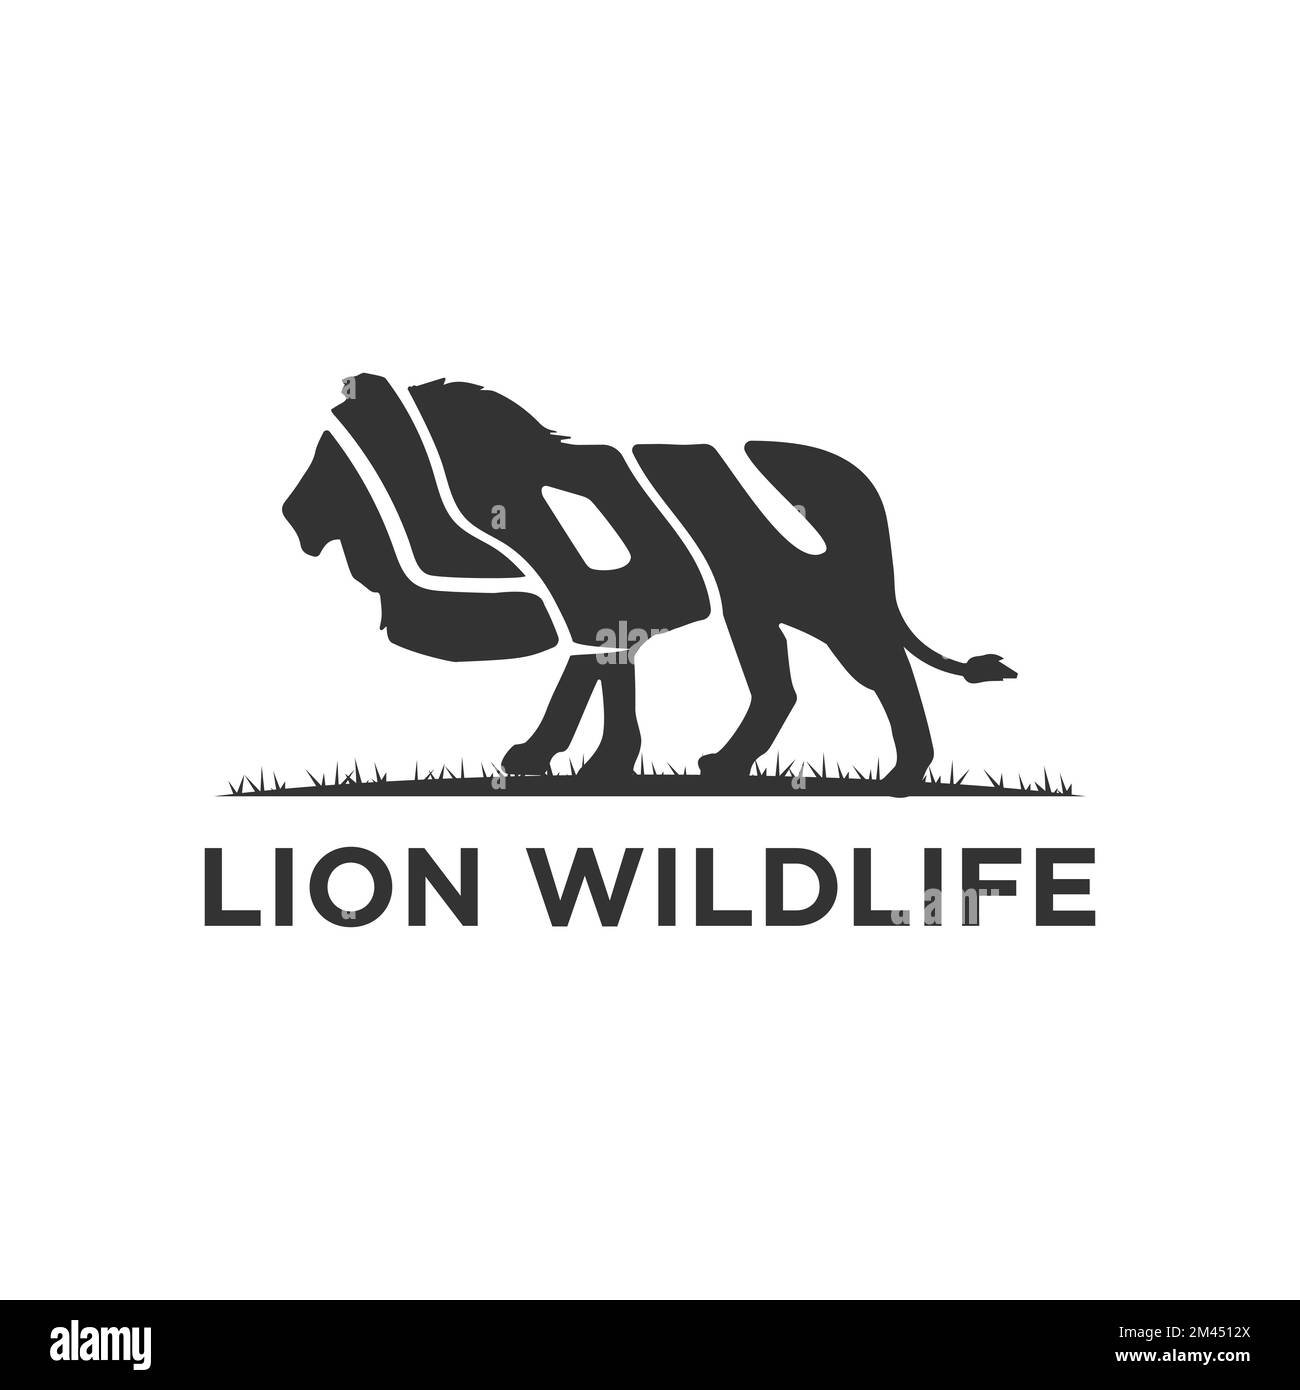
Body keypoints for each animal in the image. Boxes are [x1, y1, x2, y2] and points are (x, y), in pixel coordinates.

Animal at [283, 374, 1015, 788]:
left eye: (334, 457)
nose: (290, 512)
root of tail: (855, 480)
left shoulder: (605, 608)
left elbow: (601, 690)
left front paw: (595, 762)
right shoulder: (593, 614)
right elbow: (589, 685)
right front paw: (553, 756)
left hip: (814, 605)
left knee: (881, 670)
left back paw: (905, 771)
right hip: (759, 610)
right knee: (781, 689)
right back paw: (729, 764)